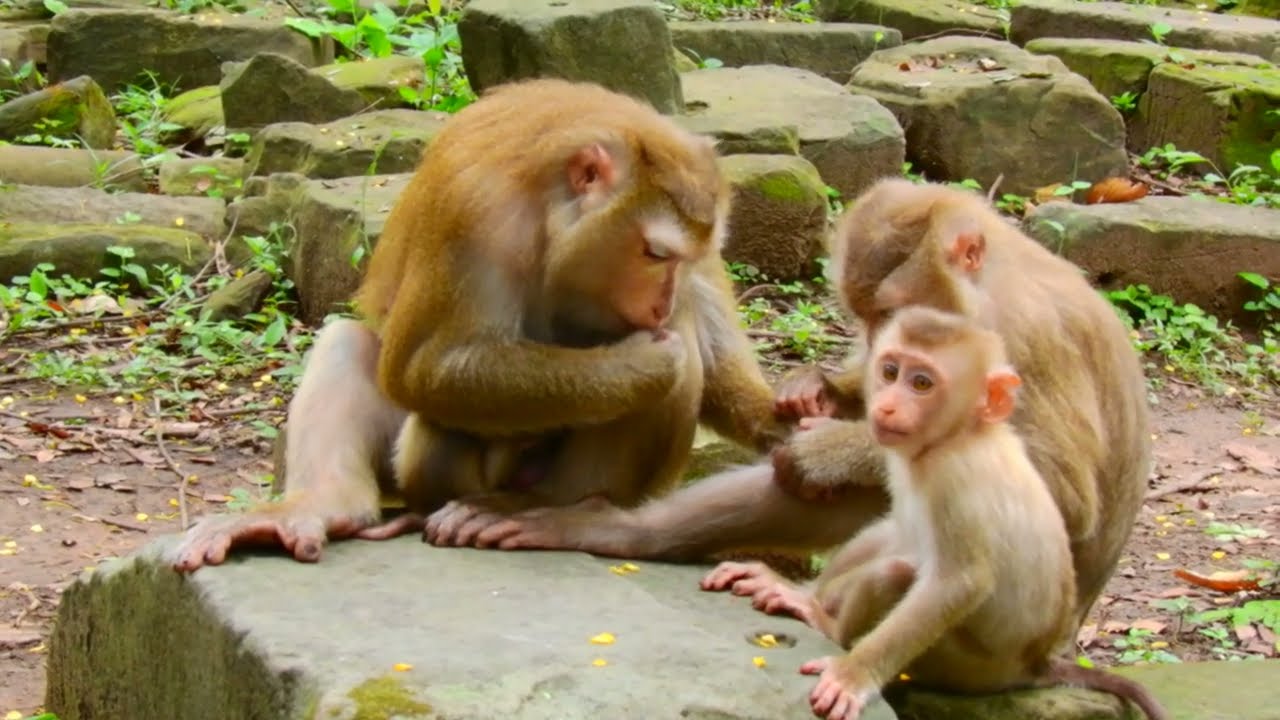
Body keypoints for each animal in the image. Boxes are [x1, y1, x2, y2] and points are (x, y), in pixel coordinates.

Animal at [168, 78, 791, 572]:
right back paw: (325, 504)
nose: (662, 303)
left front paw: (786, 414)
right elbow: (421, 367)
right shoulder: (474, 211)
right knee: (352, 343)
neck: (550, 211)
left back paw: (546, 510)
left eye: (685, 258)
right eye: (654, 255)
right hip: (428, 477)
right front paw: (641, 361)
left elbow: (711, 360)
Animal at [476, 177, 1151, 641]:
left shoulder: (1025, 336)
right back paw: (609, 529)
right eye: (870, 317)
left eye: (893, 311)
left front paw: (826, 446)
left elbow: (1061, 494)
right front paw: (818, 389)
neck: (991, 286)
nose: (881, 348)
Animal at [701, 306, 1168, 720]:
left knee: (896, 576)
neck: (957, 436)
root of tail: (1037, 665)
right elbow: (898, 532)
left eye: (922, 383)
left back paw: (829, 626)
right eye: (890, 372)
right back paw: (808, 602)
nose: (886, 405)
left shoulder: (956, 481)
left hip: (965, 668)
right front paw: (799, 591)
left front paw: (852, 677)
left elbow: (957, 584)